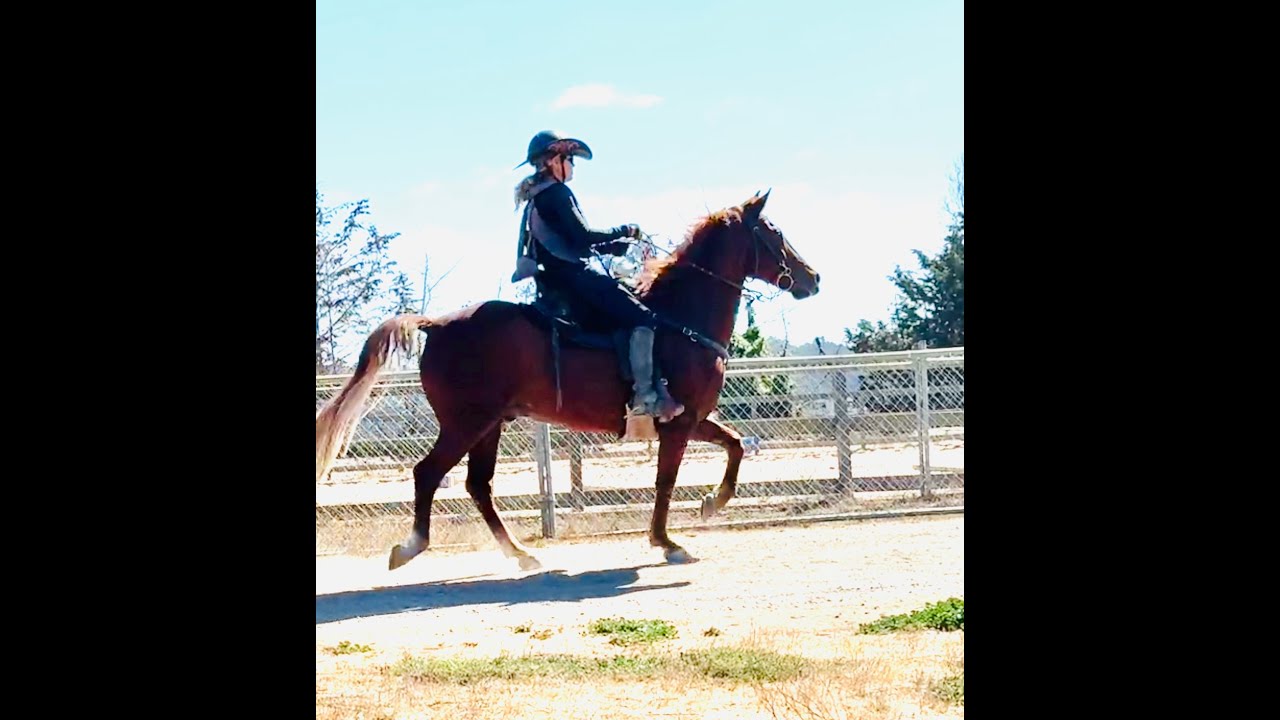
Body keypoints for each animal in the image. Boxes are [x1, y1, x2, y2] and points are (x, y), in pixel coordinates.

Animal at [316, 190, 821, 570]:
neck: (677, 319)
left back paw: (520, 554)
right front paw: (667, 541)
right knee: (429, 473)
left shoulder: (693, 418)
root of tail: (436, 324)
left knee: (478, 486)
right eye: (774, 232)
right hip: (465, 424)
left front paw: (713, 503)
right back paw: (412, 546)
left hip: (489, 425)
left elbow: (734, 445)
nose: (813, 278)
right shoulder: (678, 425)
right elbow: (666, 480)